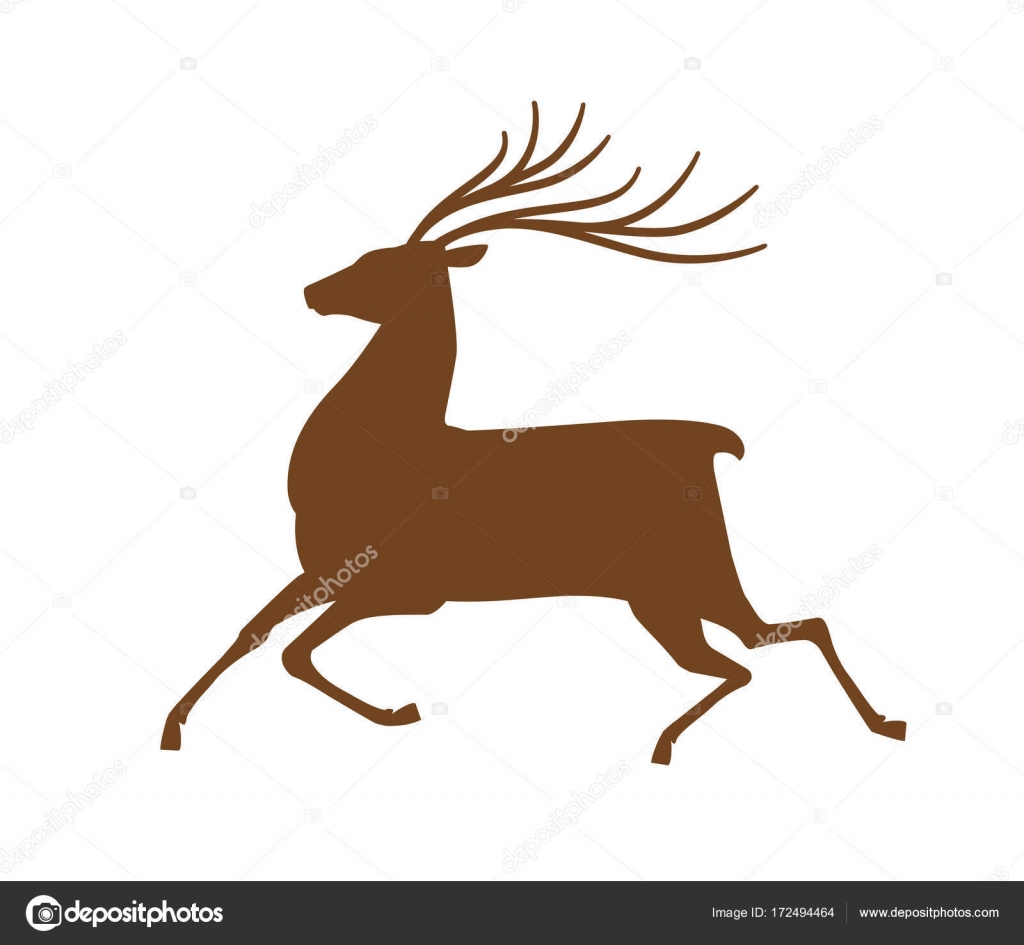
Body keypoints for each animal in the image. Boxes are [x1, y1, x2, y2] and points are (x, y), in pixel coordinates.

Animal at [161, 103, 906, 764]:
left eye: (383, 262)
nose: (313, 292)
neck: (388, 443)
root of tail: (715, 444)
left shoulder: (404, 588)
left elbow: (294, 652)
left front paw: (398, 711)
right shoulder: (325, 568)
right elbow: (254, 630)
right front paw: (172, 725)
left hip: (683, 584)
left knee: (764, 650)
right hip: (673, 593)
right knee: (769, 645)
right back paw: (855, 724)